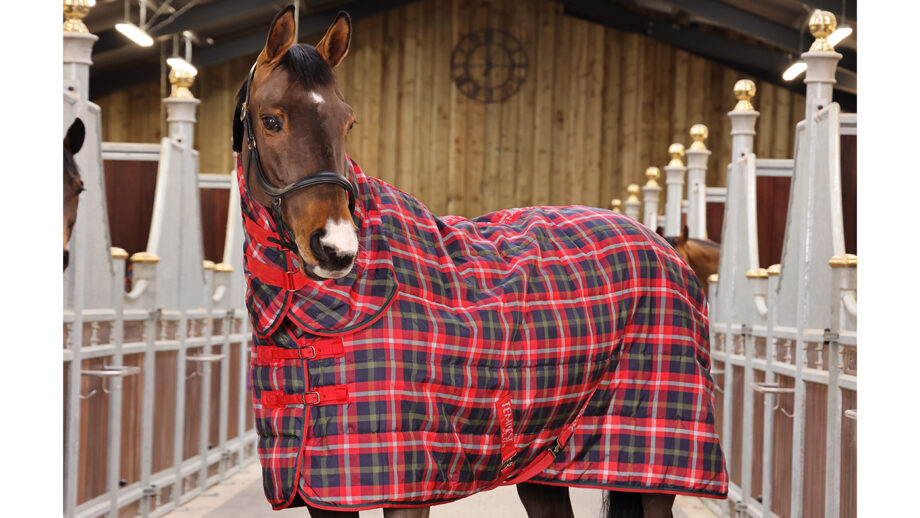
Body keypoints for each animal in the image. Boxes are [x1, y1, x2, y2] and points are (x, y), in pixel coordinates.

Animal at [234, 7, 727, 518]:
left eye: (347, 122)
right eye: (271, 121)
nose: (337, 246)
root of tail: (661, 244)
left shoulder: (409, 487)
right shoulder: (324, 491)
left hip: (654, 471)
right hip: (544, 466)